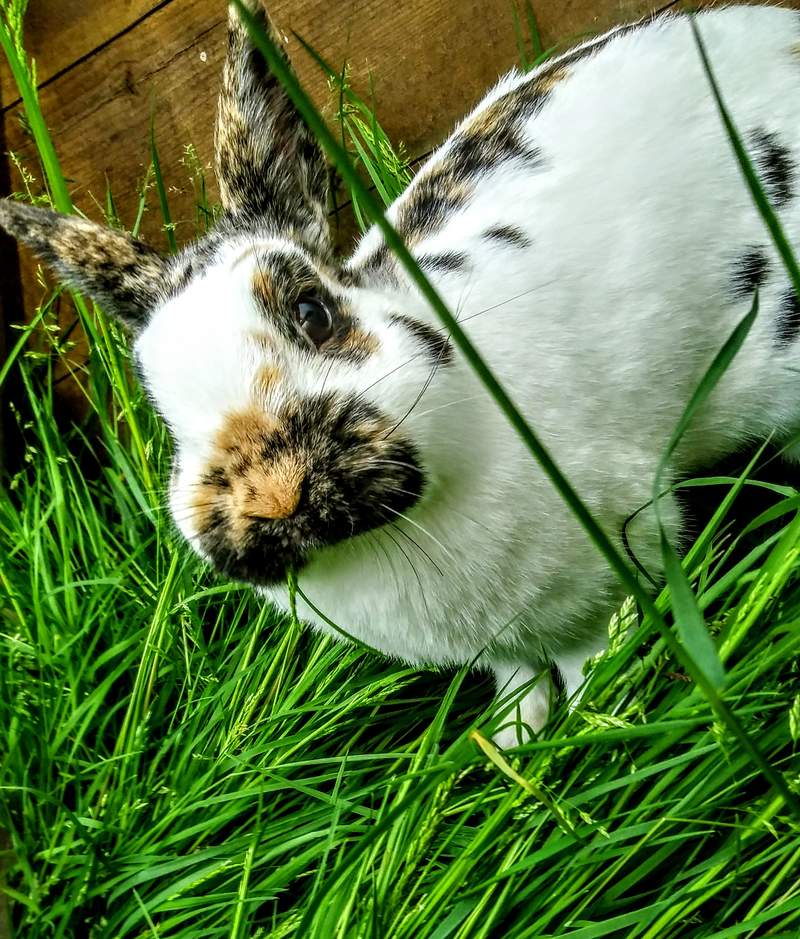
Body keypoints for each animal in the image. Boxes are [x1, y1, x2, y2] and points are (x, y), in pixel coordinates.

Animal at [3, 0, 800, 748]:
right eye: (162, 411)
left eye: (314, 313)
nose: (274, 496)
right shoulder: (505, 645)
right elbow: (519, 678)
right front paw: (510, 741)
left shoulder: (612, 568)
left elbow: (590, 656)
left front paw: (588, 724)